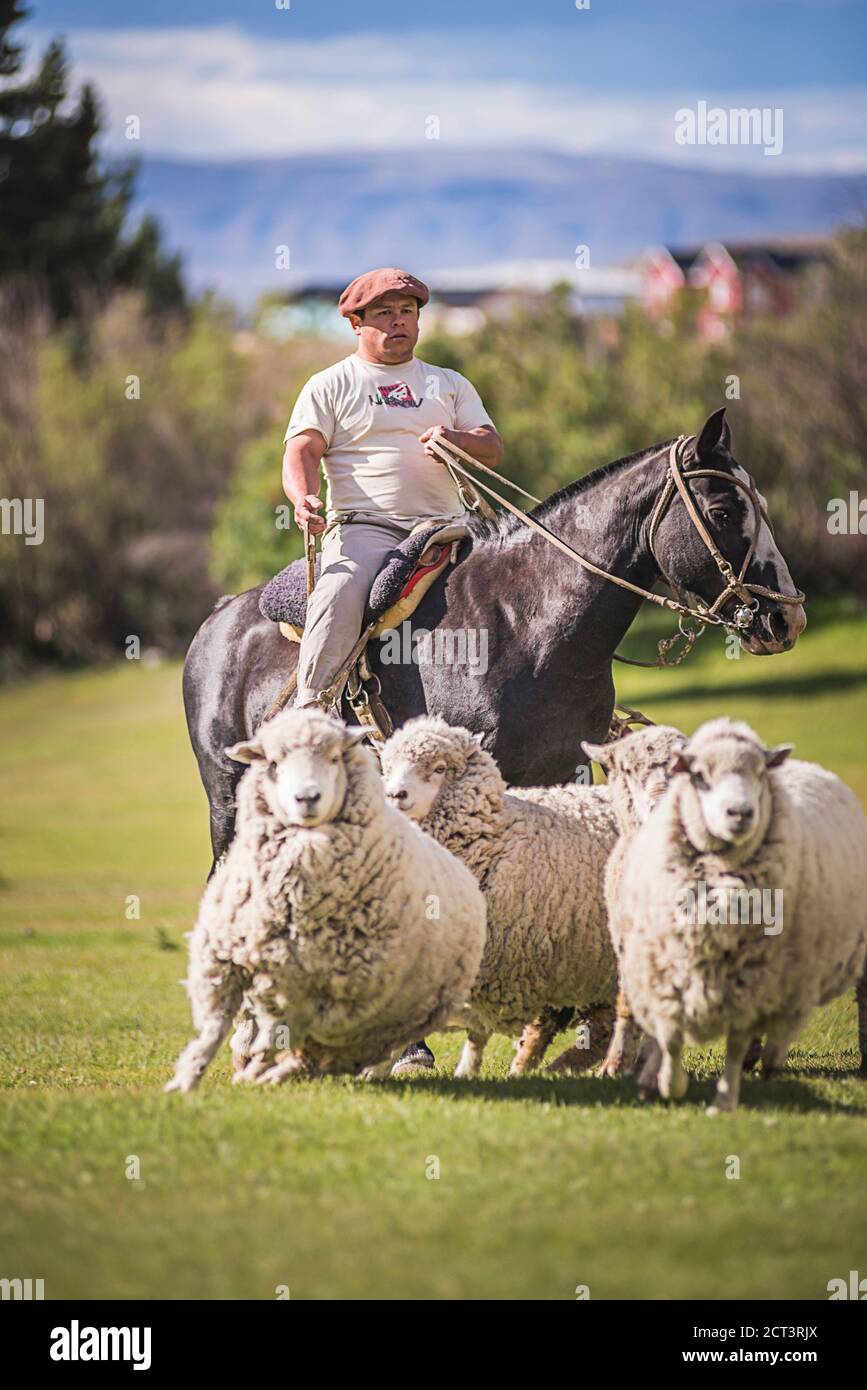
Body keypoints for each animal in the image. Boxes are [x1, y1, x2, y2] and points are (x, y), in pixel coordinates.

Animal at [165, 709, 487, 1092]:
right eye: (273, 762)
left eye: (334, 758)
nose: (307, 797)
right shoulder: (225, 959)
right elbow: (214, 1026)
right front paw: (186, 1079)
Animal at [607, 717, 867, 1113]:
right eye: (697, 774)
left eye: (758, 773)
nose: (739, 813)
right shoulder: (652, 961)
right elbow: (658, 1026)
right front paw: (652, 1077)